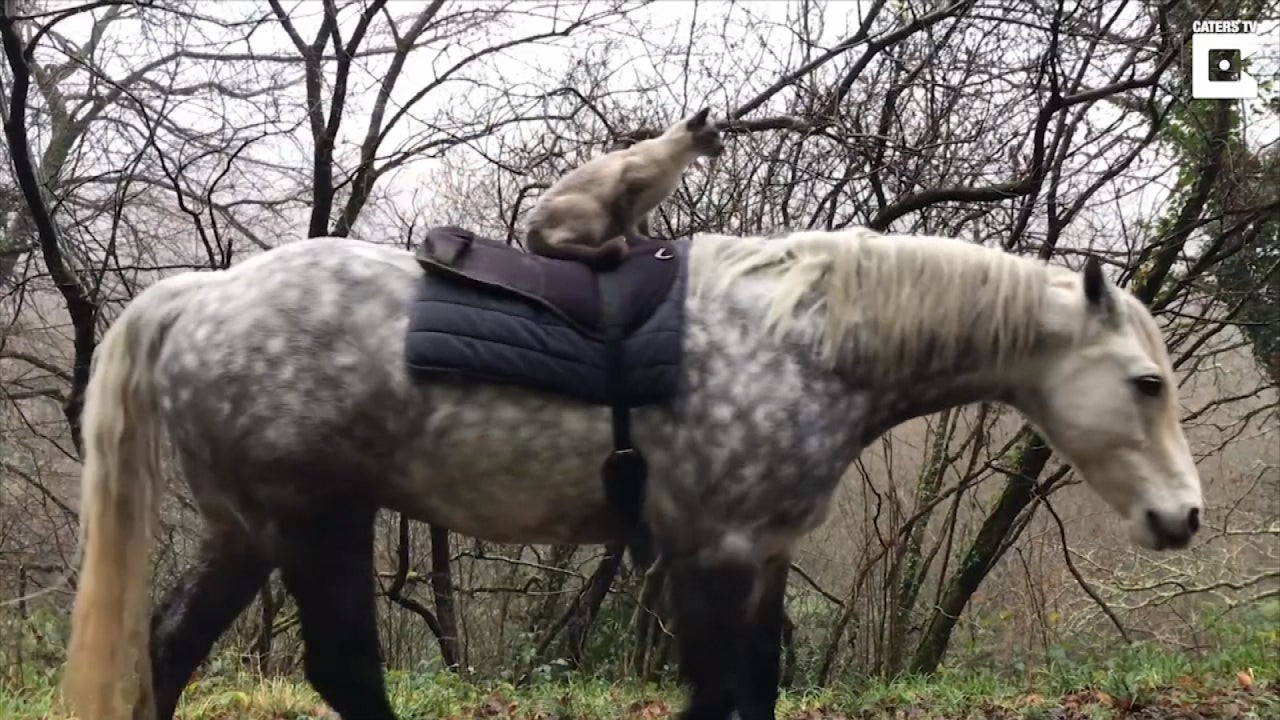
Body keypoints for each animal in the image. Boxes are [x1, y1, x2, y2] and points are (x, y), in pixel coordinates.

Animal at [58, 226, 1203, 720]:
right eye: (1145, 383)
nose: (1182, 518)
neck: (799, 337)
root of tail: (204, 296)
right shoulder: (710, 556)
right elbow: (716, 697)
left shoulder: (759, 558)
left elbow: (753, 695)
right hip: (315, 524)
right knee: (339, 672)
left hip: (246, 531)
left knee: (164, 652)